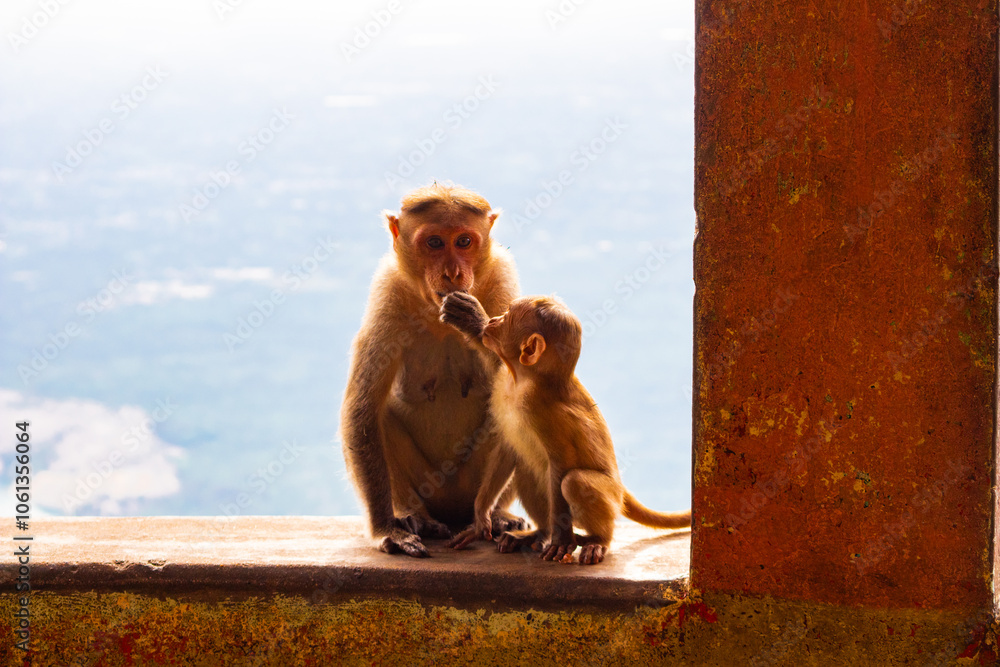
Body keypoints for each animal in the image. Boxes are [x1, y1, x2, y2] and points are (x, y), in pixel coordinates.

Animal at [340, 183, 526, 558]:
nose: (453, 274)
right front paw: (387, 530)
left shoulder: (502, 276)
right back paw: (418, 519)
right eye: (435, 243)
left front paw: (473, 322)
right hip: (431, 489)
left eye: (464, 242)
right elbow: (363, 410)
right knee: (379, 417)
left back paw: (496, 514)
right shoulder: (388, 290)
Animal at [440, 291, 690, 564]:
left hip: (610, 497)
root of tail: (619, 488)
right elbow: (508, 449)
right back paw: (540, 532)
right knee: (526, 467)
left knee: (574, 482)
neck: (523, 380)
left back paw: (597, 539)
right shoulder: (503, 382)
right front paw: (480, 519)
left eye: (507, 317)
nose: (494, 321)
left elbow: (561, 464)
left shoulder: (540, 409)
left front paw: (561, 541)